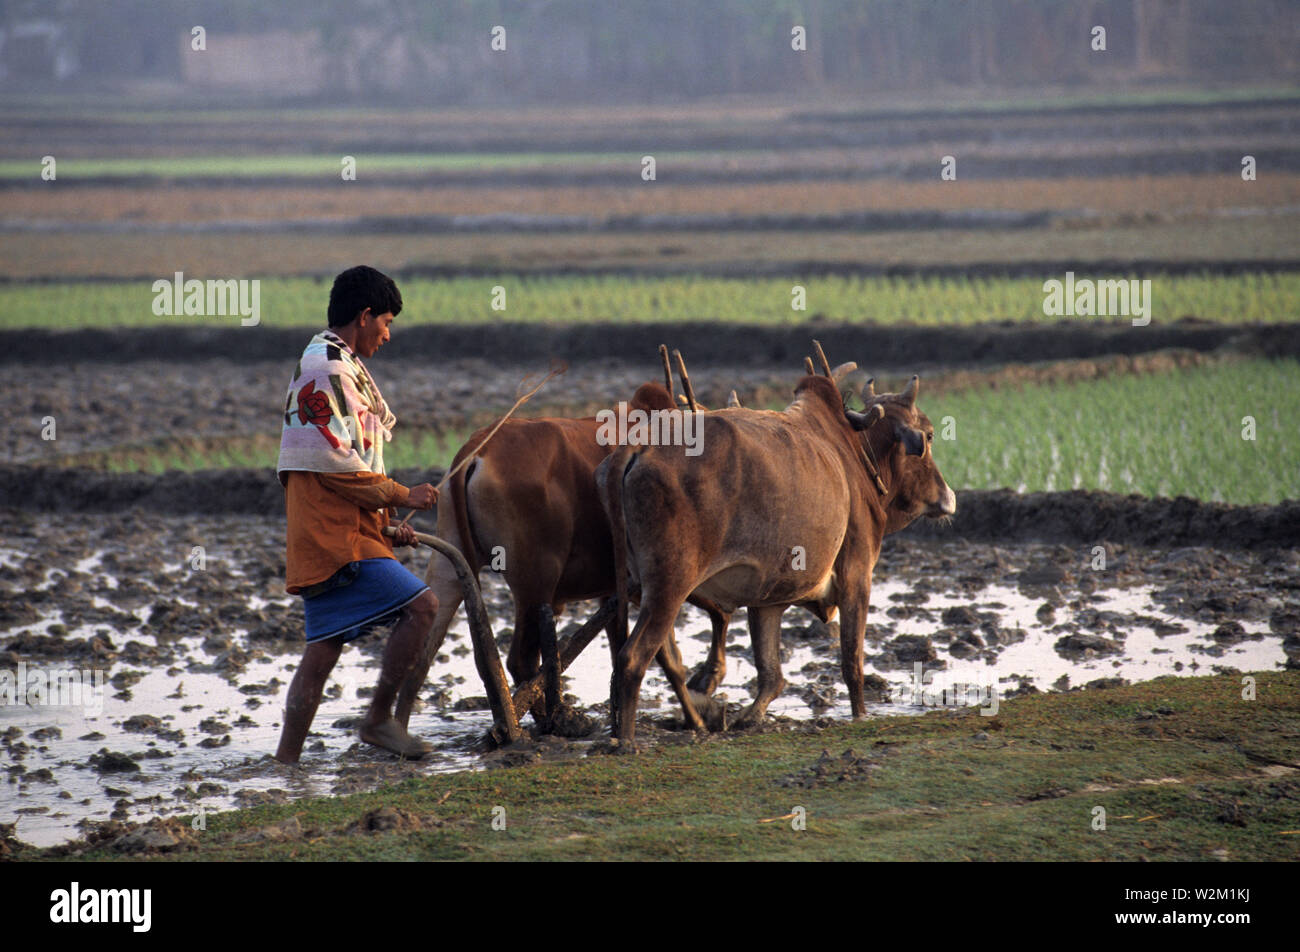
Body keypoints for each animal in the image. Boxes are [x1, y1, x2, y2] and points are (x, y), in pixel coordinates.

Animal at [597, 372, 956, 745]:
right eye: (929, 434)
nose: (949, 497)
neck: (857, 457)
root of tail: (641, 446)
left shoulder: (766, 600)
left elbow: (771, 674)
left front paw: (749, 717)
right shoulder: (857, 577)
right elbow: (851, 662)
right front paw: (860, 716)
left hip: (643, 587)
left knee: (665, 658)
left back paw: (689, 720)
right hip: (670, 586)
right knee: (633, 657)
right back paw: (627, 740)